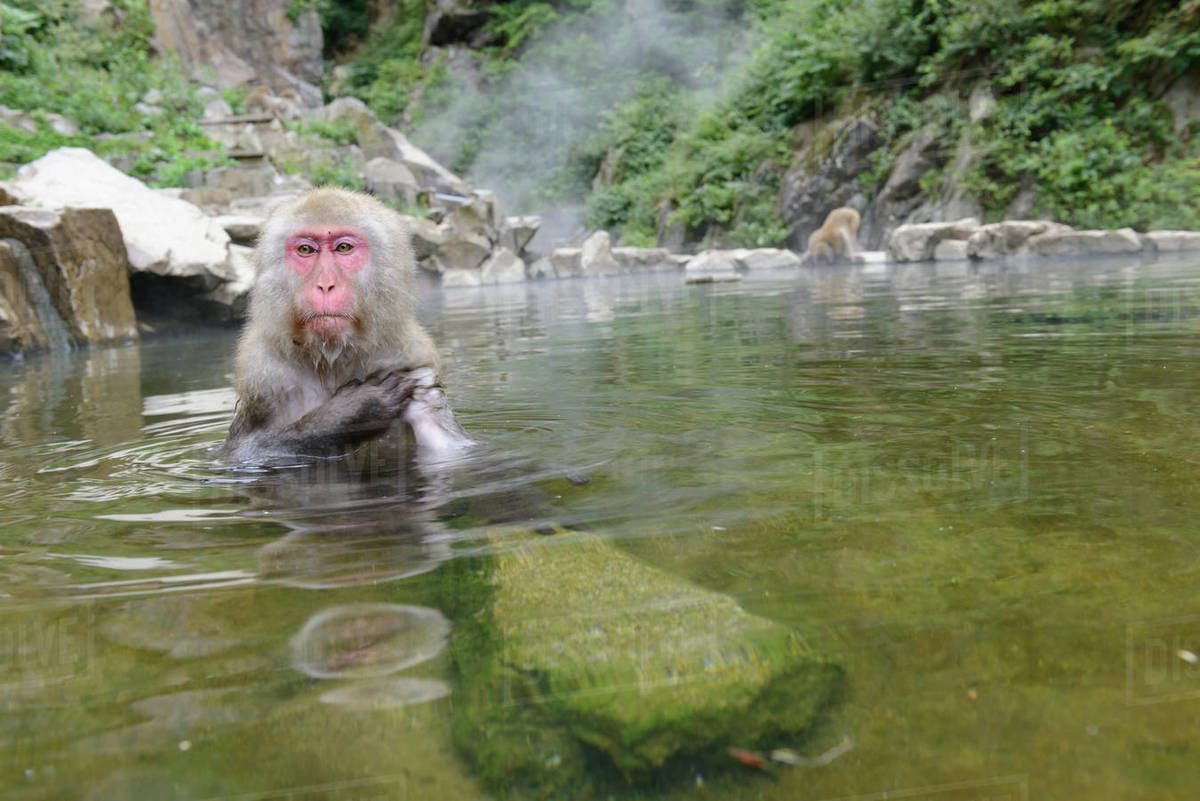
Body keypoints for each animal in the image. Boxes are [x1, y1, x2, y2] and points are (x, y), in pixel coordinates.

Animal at [223, 187, 473, 463]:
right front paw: (353, 412)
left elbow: (450, 447)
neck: (332, 360)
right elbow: (239, 454)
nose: (325, 284)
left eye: (343, 247)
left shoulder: (414, 361)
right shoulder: (262, 377)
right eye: (306, 250)